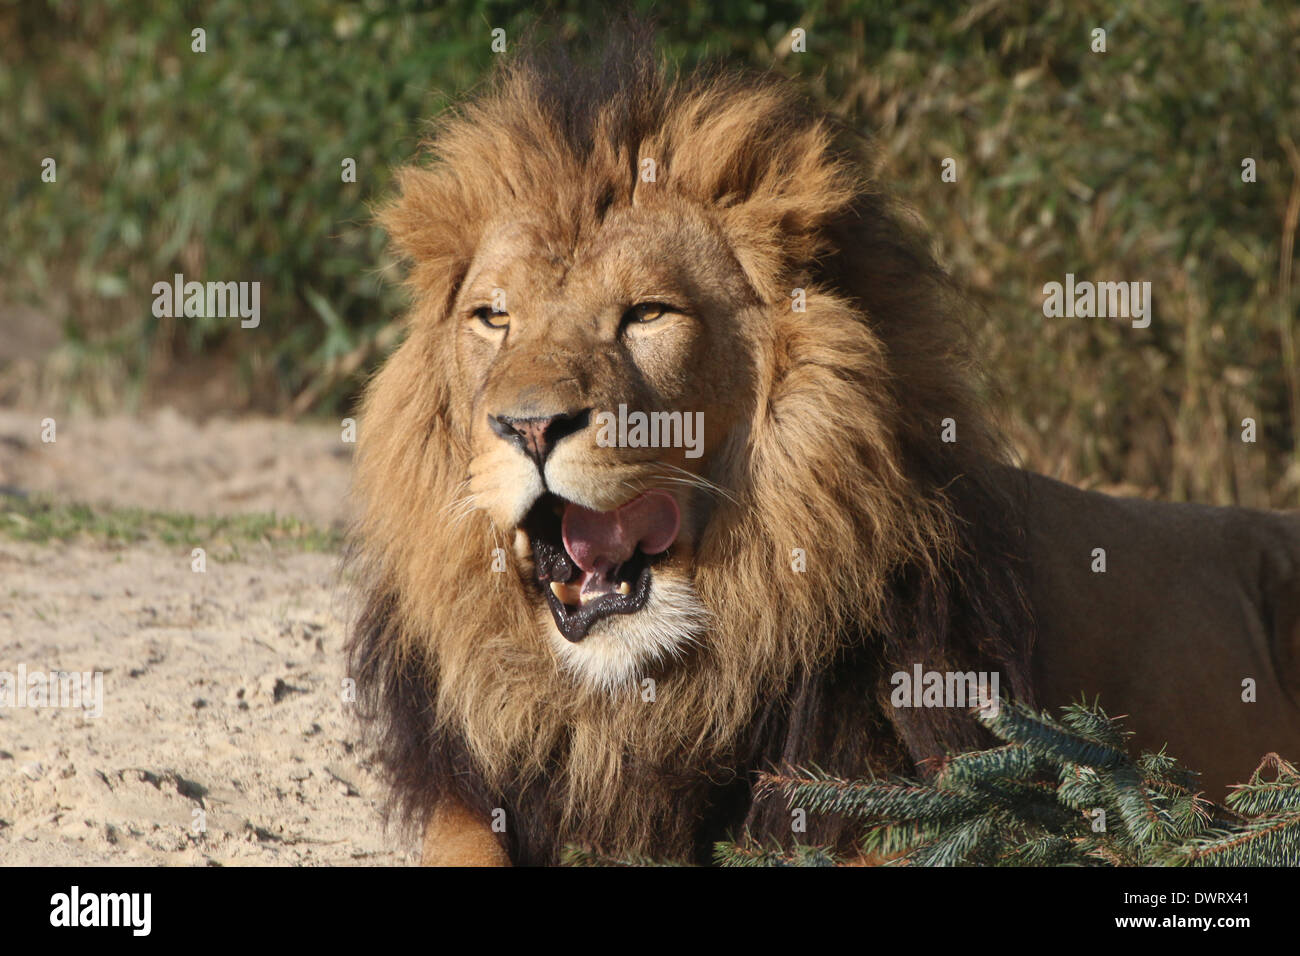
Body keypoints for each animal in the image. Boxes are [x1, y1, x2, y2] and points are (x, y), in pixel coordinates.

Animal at [346, 30, 1300, 866]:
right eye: (493, 318)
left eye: (648, 314)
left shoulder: (916, 800)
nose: (530, 427)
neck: (638, 701)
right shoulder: (485, 793)